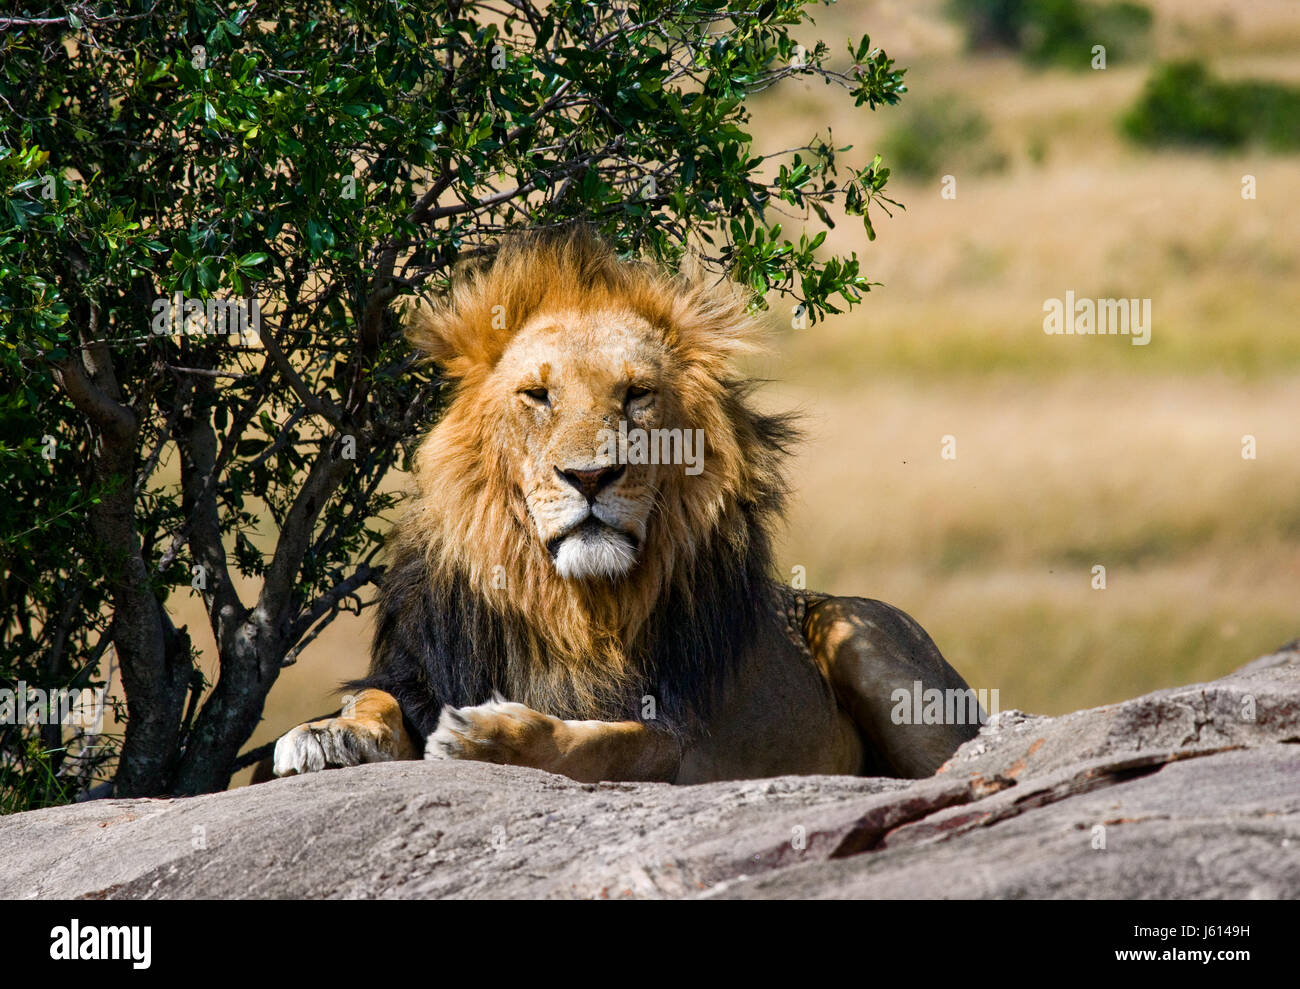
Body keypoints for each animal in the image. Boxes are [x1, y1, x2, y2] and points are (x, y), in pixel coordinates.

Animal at [271, 227, 981, 784]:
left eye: (637, 394)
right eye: (537, 395)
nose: (590, 477)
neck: (570, 605)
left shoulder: (676, 737)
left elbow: (600, 743)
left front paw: (490, 737)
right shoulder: (417, 670)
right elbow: (376, 699)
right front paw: (326, 736)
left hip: (851, 627)